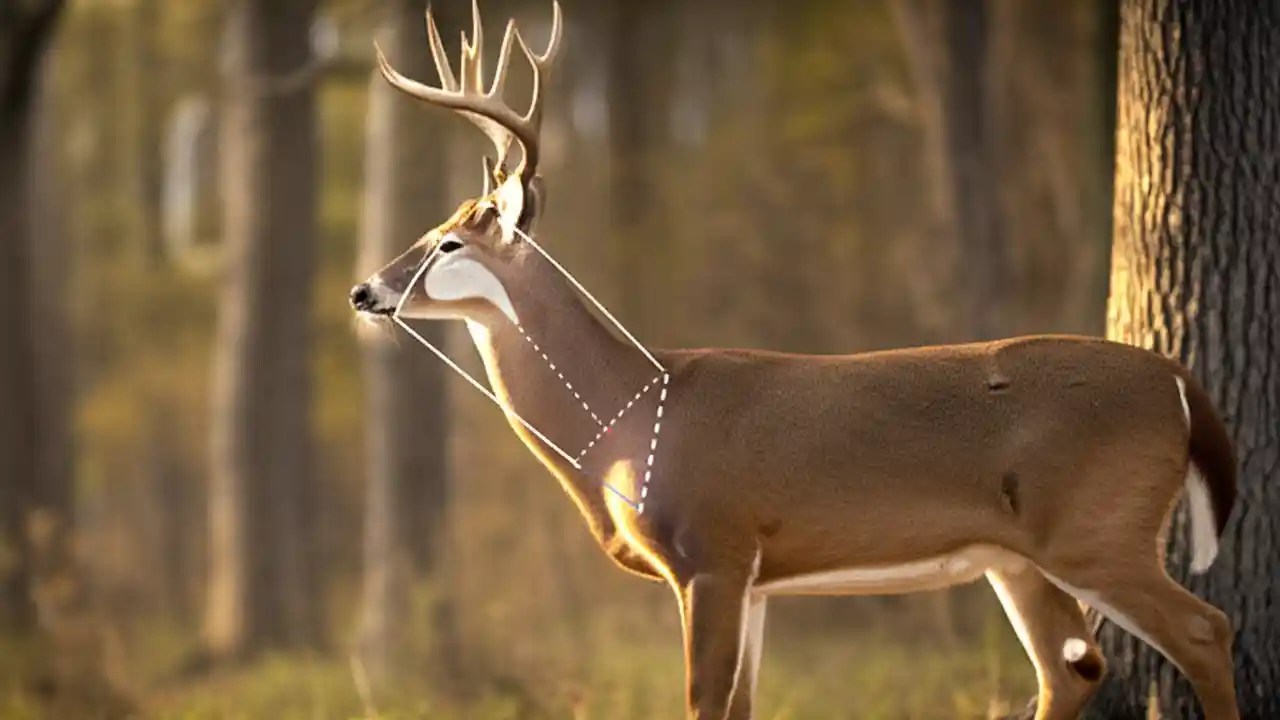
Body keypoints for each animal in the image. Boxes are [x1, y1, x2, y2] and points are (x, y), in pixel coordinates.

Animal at [348, 3, 1242, 718]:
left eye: (449, 242)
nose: (363, 291)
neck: (629, 419)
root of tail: (1179, 382)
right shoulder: (758, 579)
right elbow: (740, 705)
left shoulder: (712, 550)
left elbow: (703, 704)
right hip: (1017, 558)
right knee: (1073, 670)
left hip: (1098, 527)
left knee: (1205, 628)